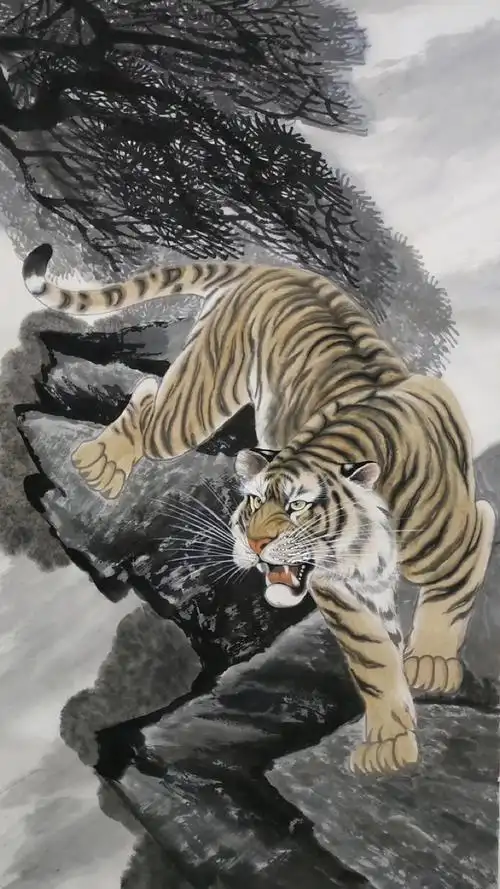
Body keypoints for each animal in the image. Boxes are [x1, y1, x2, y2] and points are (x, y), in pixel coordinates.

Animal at [22, 242, 496, 775]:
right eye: (251, 501)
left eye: (298, 506)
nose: (253, 544)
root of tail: (269, 268)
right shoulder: (338, 590)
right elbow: (372, 660)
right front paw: (388, 741)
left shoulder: (466, 533)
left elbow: (449, 595)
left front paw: (431, 667)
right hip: (196, 404)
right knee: (147, 398)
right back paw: (98, 463)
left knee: (146, 394)